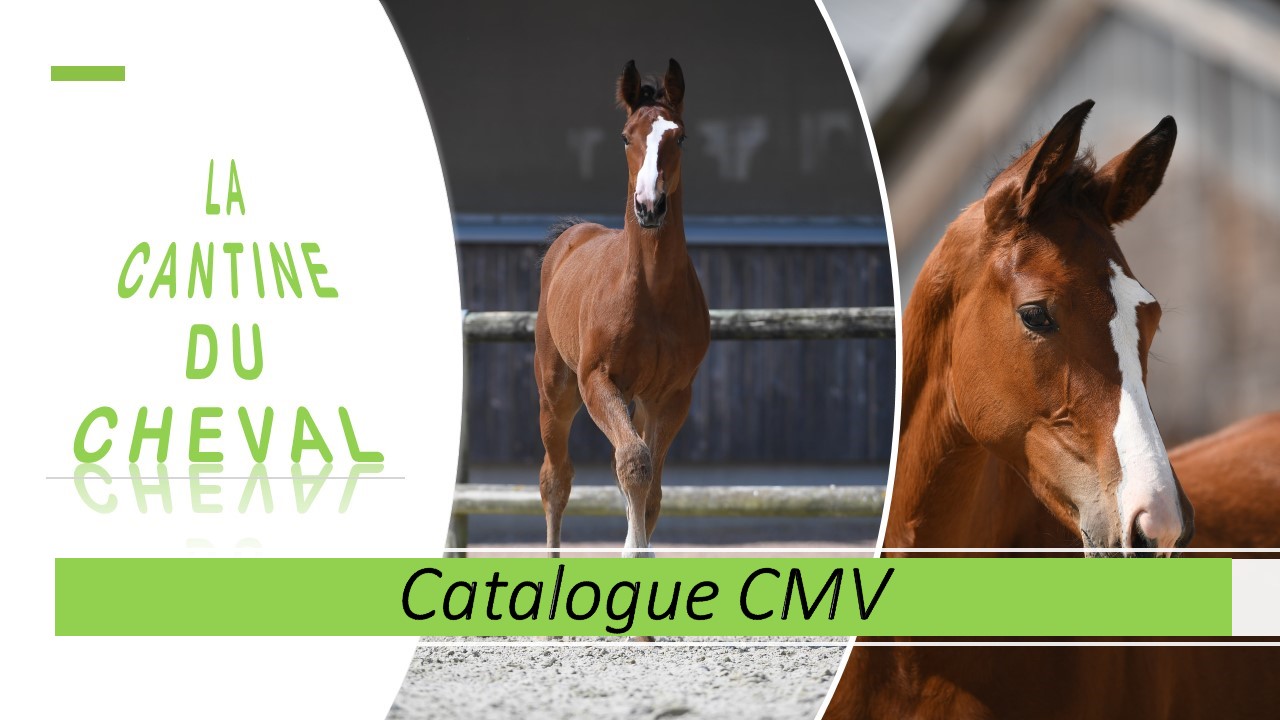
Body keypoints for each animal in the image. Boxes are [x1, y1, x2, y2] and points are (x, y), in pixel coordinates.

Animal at [534, 59, 709, 559]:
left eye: (679, 137)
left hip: (642, 403)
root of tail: (574, 235)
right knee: (556, 480)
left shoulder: (674, 395)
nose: (650, 206)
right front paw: (634, 551)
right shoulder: (597, 381)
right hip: (557, 395)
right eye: (625, 136)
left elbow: (650, 489)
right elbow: (632, 462)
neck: (650, 293)